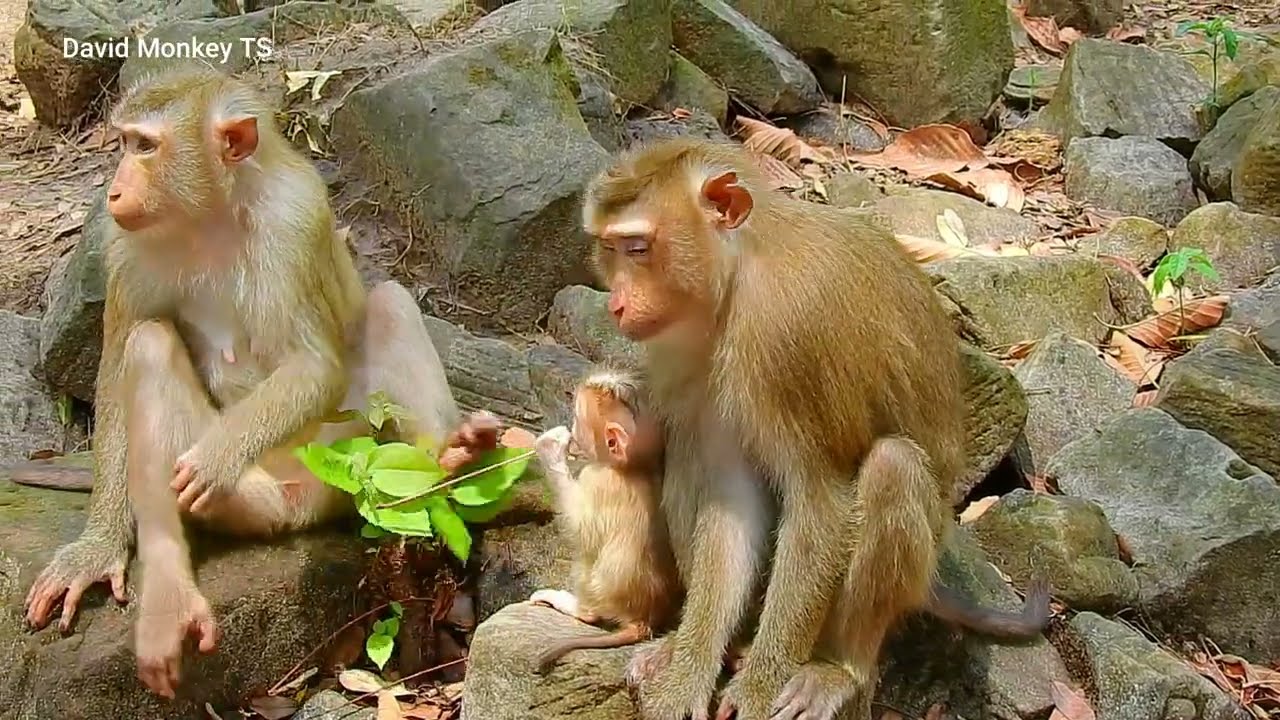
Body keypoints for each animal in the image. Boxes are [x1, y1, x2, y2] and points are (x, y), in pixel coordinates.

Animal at [17, 66, 500, 701]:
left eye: (144, 146)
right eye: (123, 142)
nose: (114, 190)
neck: (211, 213)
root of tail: (299, 507)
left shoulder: (296, 218)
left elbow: (314, 364)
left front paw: (219, 456)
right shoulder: (123, 247)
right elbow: (117, 366)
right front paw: (97, 549)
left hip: (347, 460)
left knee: (389, 303)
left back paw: (450, 458)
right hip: (258, 498)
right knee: (149, 346)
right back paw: (170, 595)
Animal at [579, 138, 1052, 720]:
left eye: (639, 248)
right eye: (610, 248)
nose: (617, 304)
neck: (736, 278)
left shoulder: (789, 336)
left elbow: (821, 496)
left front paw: (758, 691)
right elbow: (730, 498)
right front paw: (688, 670)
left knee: (892, 468)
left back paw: (837, 667)